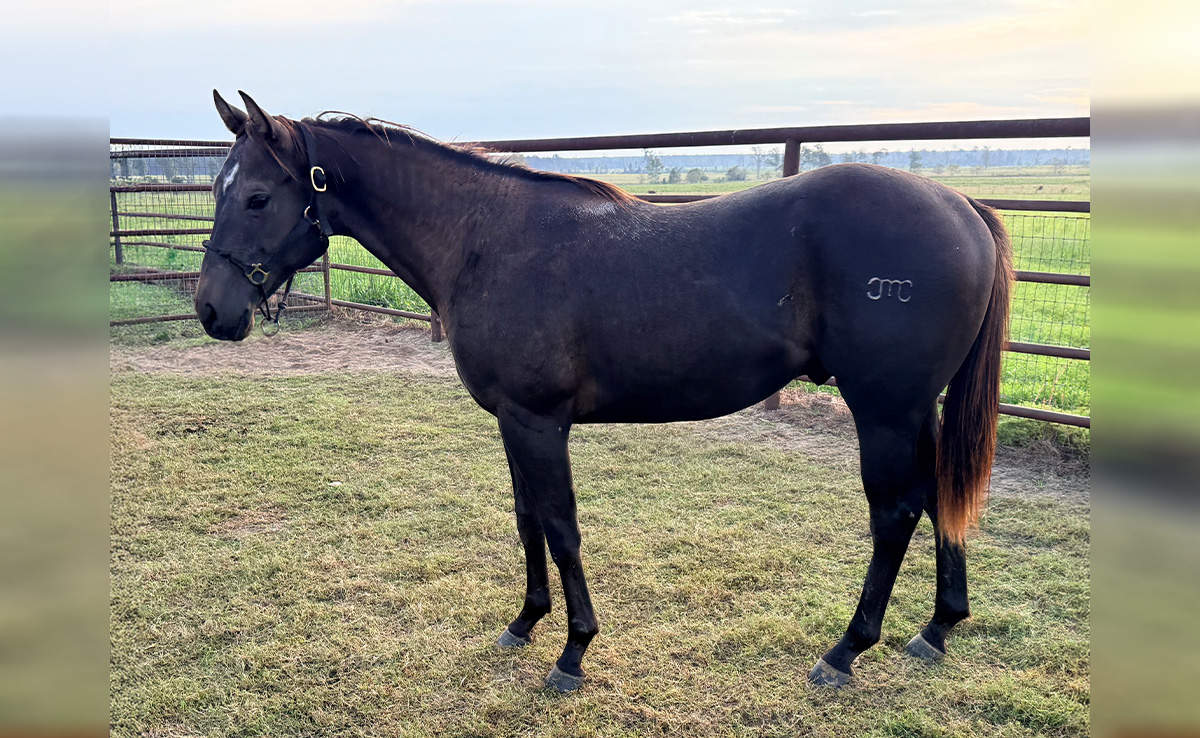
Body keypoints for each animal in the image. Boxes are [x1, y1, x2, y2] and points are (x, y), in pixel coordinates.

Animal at [196, 91, 1013, 691]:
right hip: (918, 409)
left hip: (883, 410)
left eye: (259, 197)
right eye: (222, 189)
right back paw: (937, 629)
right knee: (938, 496)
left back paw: (845, 651)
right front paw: (524, 623)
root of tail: (962, 206)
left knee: (895, 515)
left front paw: (572, 651)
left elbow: (560, 527)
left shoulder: (538, 422)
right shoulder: (511, 421)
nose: (211, 309)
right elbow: (526, 519)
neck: (486, 239)